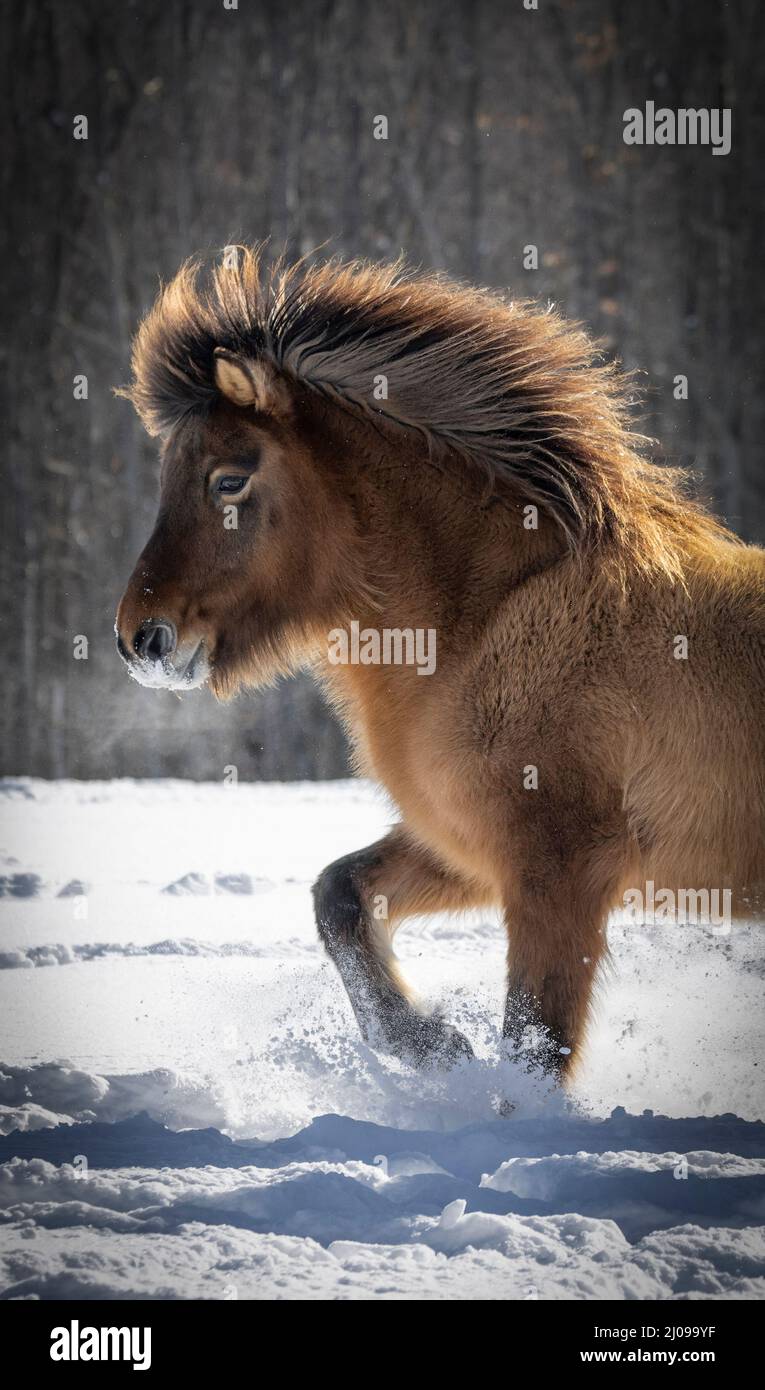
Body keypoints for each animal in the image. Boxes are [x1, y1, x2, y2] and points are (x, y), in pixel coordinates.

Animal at [115, 247, 765, 1080]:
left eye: (229, 479)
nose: (141, 639)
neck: (482, 624)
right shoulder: (462, 847)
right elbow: (339, 896)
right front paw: (431, 1045)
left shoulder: (558, 874)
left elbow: (531, 1054)